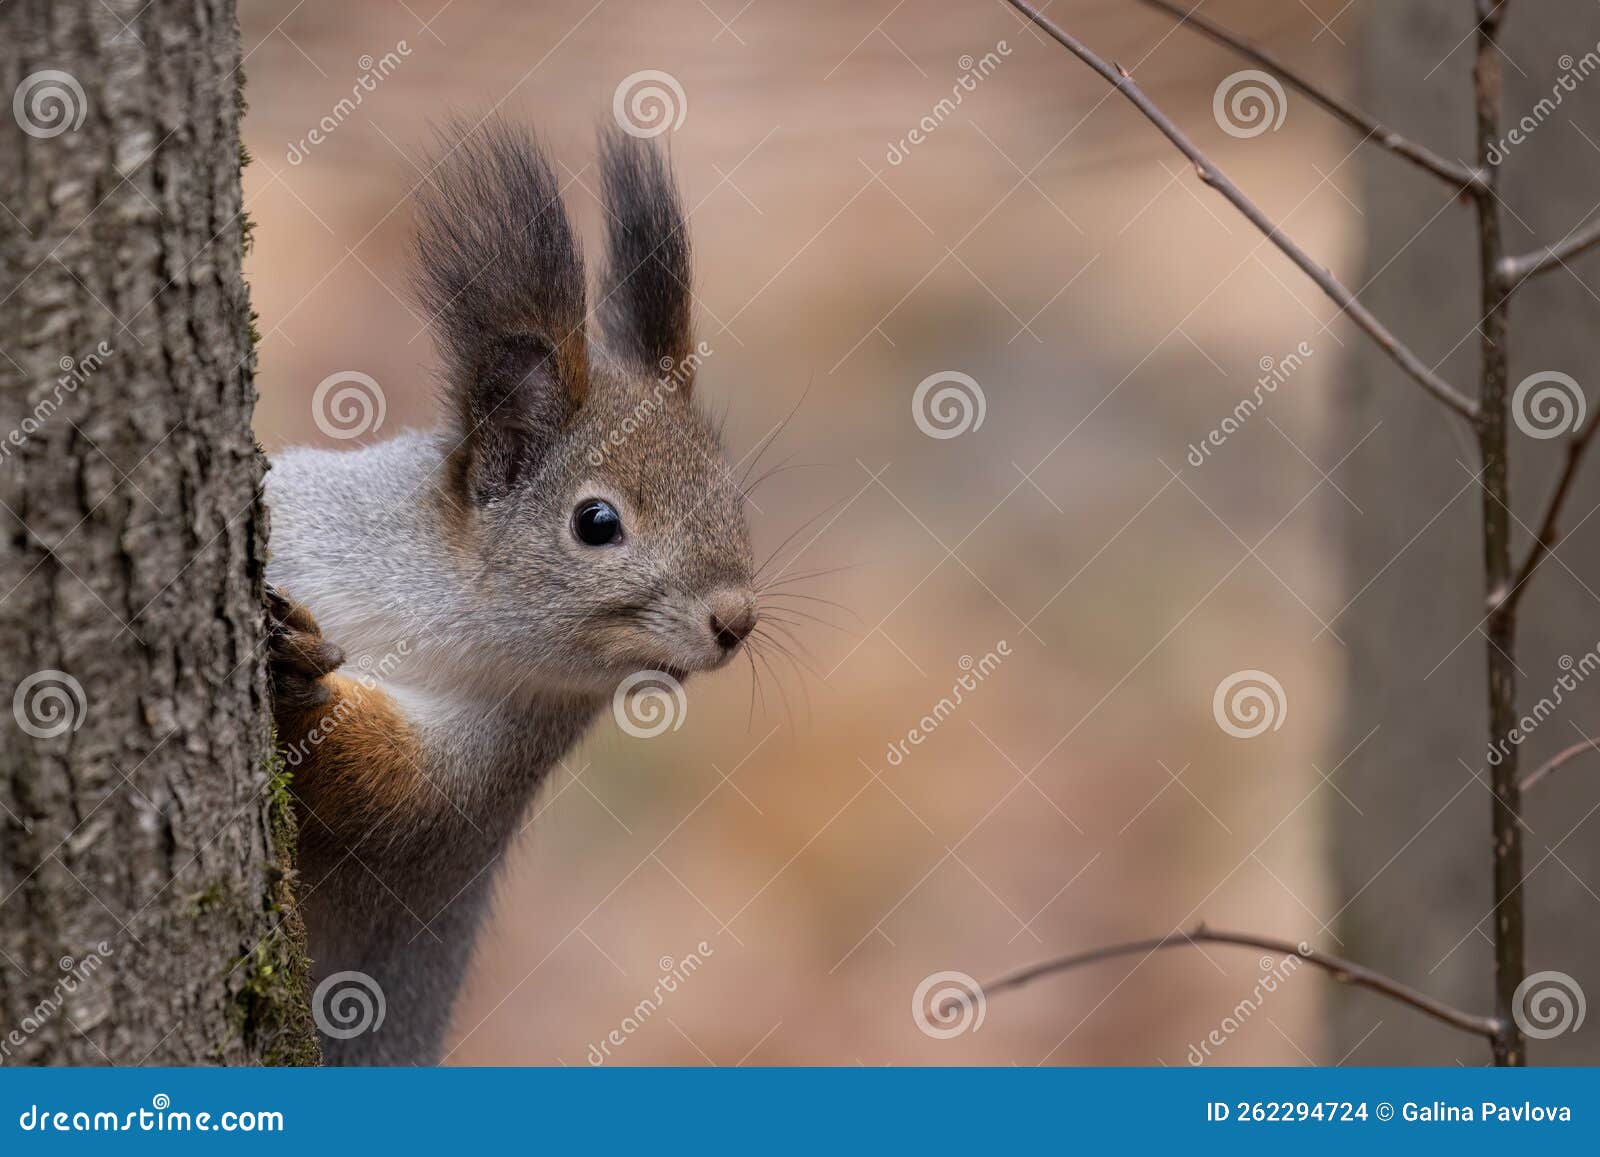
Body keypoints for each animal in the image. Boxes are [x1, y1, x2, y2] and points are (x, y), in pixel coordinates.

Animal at [262, 121, 760, 1065]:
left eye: (734, 496)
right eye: (597, 522)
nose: (736, 620)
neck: (418, 604)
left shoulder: (486, 778)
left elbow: (389, 791)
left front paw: (299, 686)